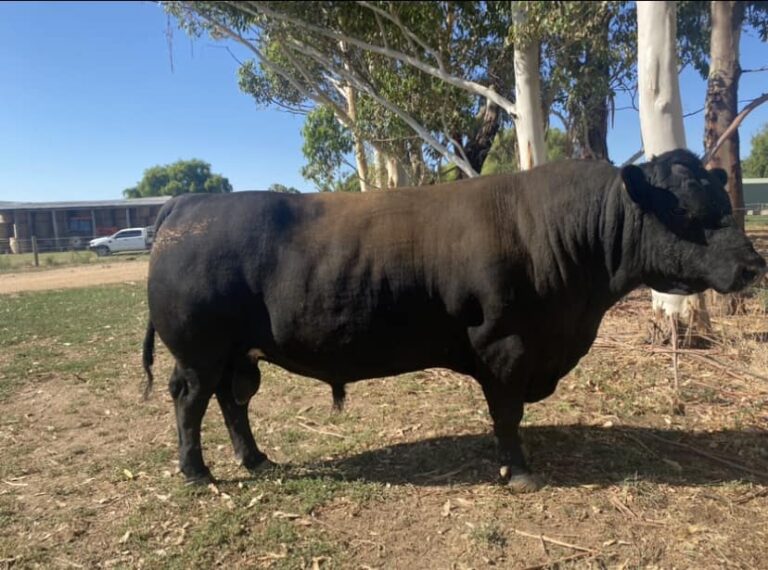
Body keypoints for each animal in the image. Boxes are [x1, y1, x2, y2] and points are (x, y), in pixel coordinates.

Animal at [142, 149, 766, 493]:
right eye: (687, 210)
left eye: (722, 201)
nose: (753, 264)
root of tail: (188, 203)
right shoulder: (506, 345)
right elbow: (507, 415)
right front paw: (519, 471)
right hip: (198, 352)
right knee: (191, 401)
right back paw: (197, 471)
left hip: (235, 354)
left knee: (233, 402)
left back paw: (255, 458)